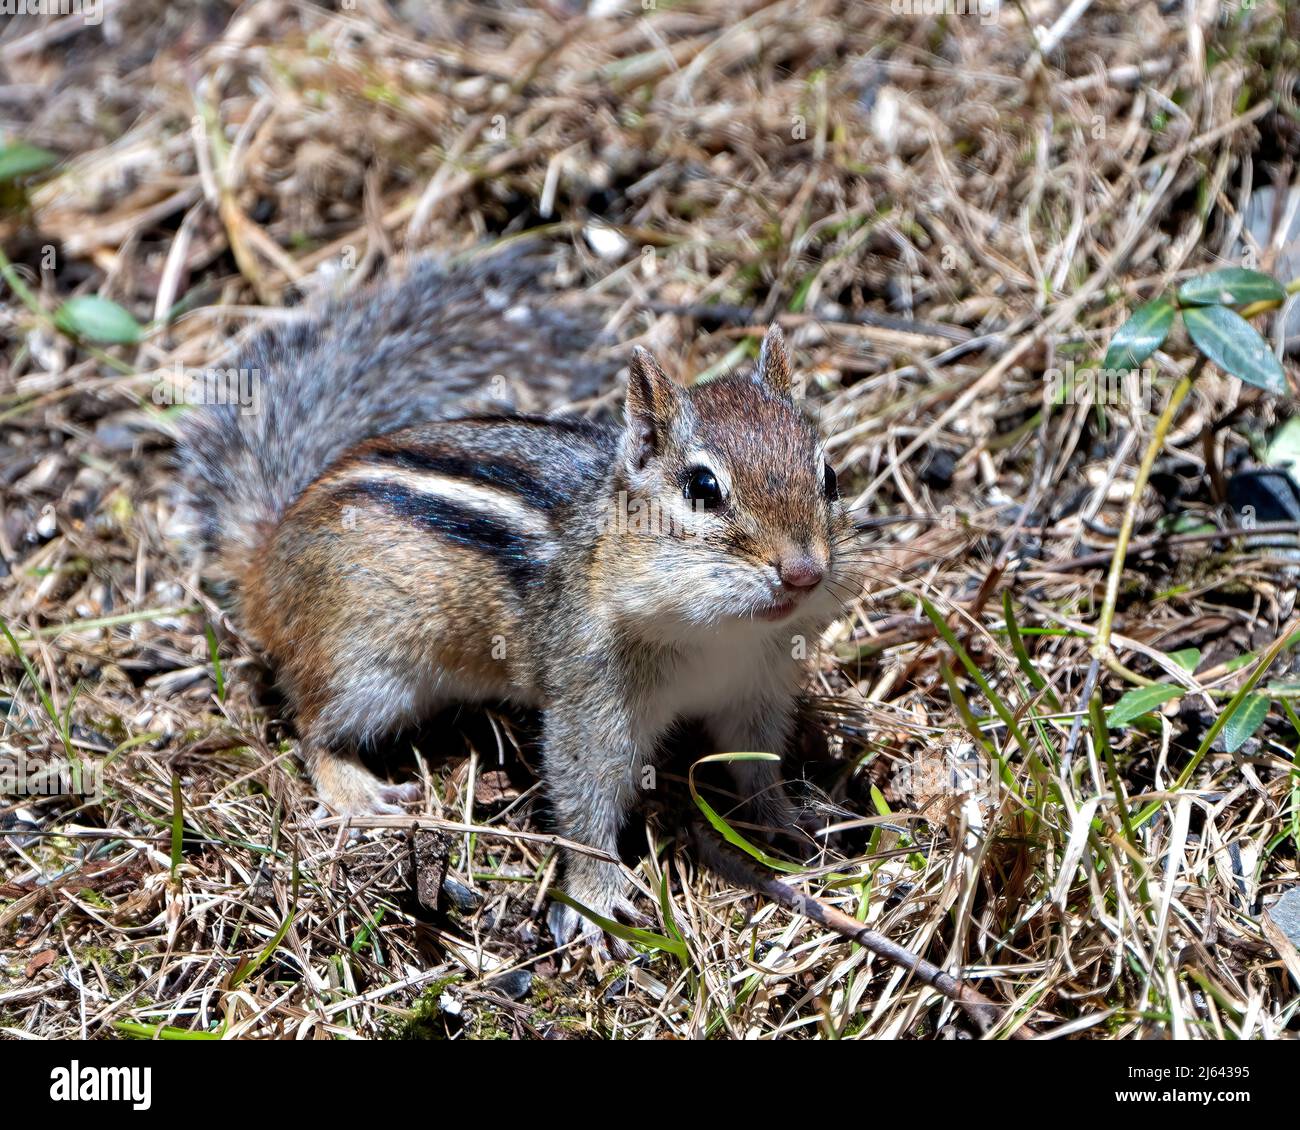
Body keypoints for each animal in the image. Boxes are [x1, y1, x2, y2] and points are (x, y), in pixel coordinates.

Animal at [178, 245, 854, 949]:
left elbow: (756, 762)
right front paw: (597, 895)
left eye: (830, 477)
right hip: (360, 668)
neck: (719, 636)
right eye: (702, 489)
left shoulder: (756, 688)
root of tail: (267, 554)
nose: (804, 572)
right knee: (312, 731)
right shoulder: (591, 698)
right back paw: (359, 792)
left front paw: (790, 816)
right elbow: (586, 798)